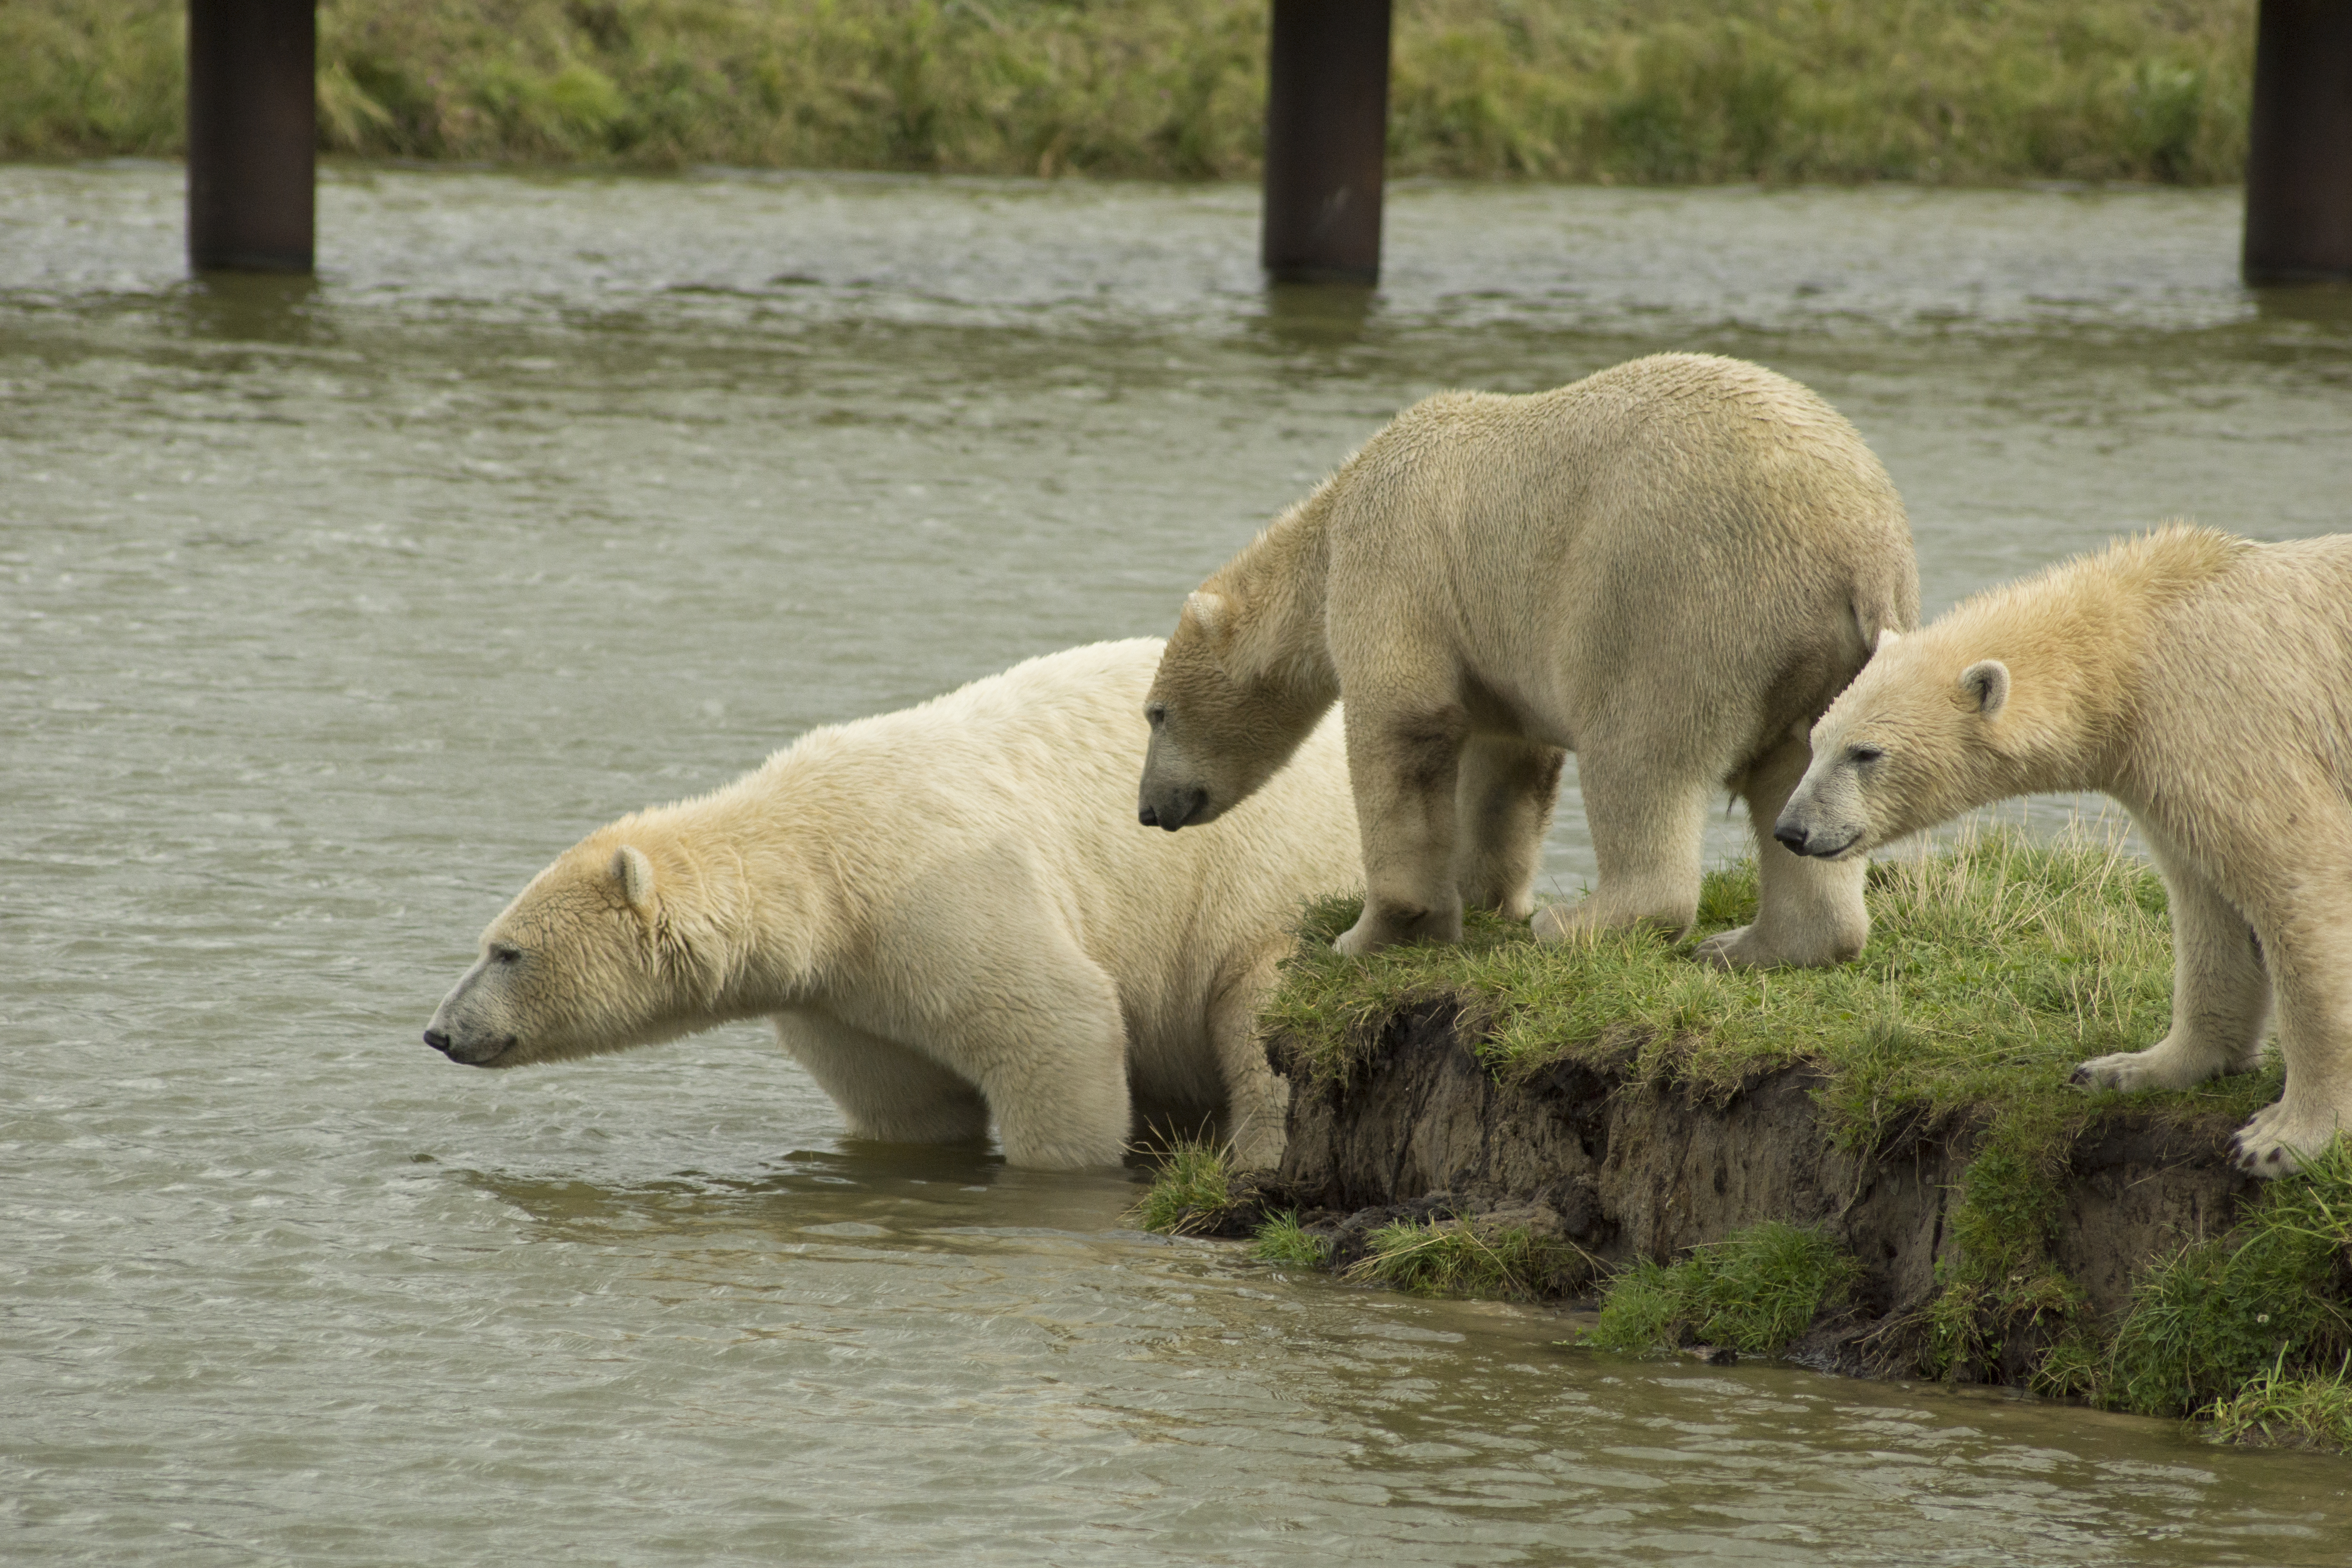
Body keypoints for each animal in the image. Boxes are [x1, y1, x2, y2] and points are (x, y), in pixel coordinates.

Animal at [422, 639, 1363, 1171]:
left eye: (507, 951)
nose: (440, 1031)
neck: (818, 871)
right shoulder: (843, 997)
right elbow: (911, 1106)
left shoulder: (938, 891)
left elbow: (1055, 1024)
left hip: (1272, 884)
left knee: (1259, 1016)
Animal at [1135, 352, 1919, 967]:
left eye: (1156, 713)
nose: (1148, 808)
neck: (1334, 518)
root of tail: (1858, 545)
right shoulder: (1492, 650)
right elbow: (1505, 767)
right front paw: (1485, 897)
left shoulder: (1389, 559)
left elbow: (1402, 721)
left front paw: (1372, 933)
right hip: (1835, 661)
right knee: (1799, 775)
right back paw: (1755, 946)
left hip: (1676, 600)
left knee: (1638, 754)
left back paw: (1577, 924)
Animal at [1772, 523, 2352, 1175]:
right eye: (1819, 739)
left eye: (1866, 753)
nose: (1793, 830)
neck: (2138, 639)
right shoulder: (2172, 764)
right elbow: (2207, 903)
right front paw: (2133, 1067)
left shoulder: (2235, 724)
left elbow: (2302, 884)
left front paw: (2286, 1138)